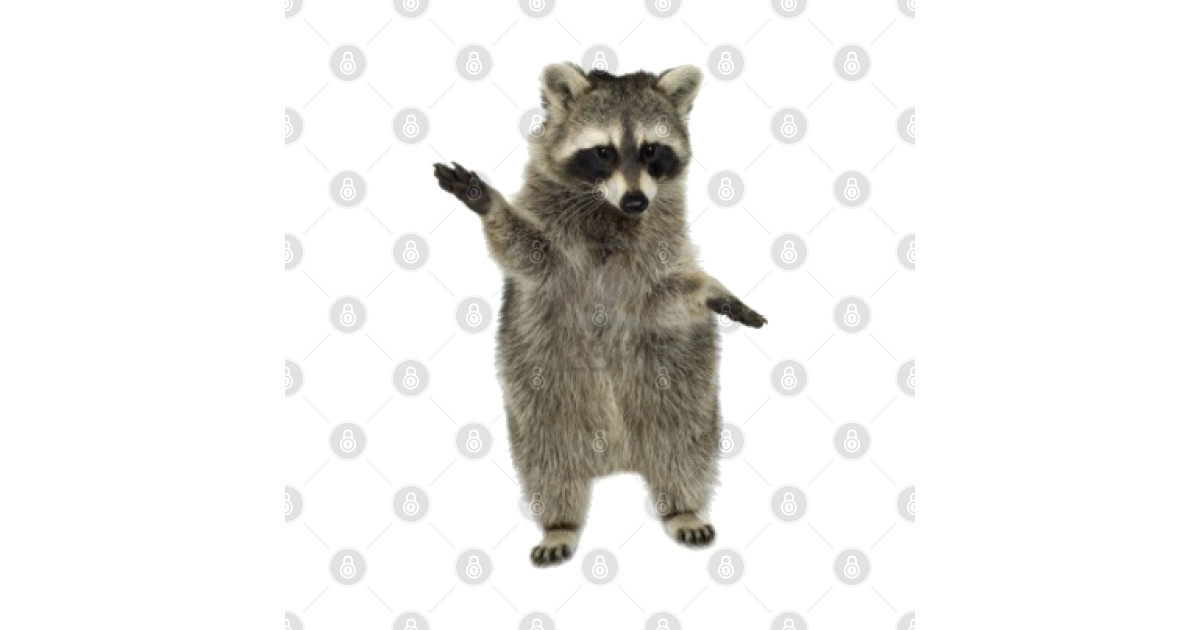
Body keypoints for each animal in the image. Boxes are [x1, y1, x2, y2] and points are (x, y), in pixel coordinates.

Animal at [433, 63, 766, 567]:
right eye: (603, 152)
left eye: (651, 150)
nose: (635, 201)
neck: (609, 210)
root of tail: (618, 457)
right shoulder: (553, 252)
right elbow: (524, 251)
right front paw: (487, 201)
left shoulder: (655, 258)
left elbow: (667, 294)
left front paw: (711, 290)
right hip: (539, 387)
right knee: (547, 460)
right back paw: (560, 522)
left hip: (683, 380)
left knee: (685, 444)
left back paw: (681, 506)